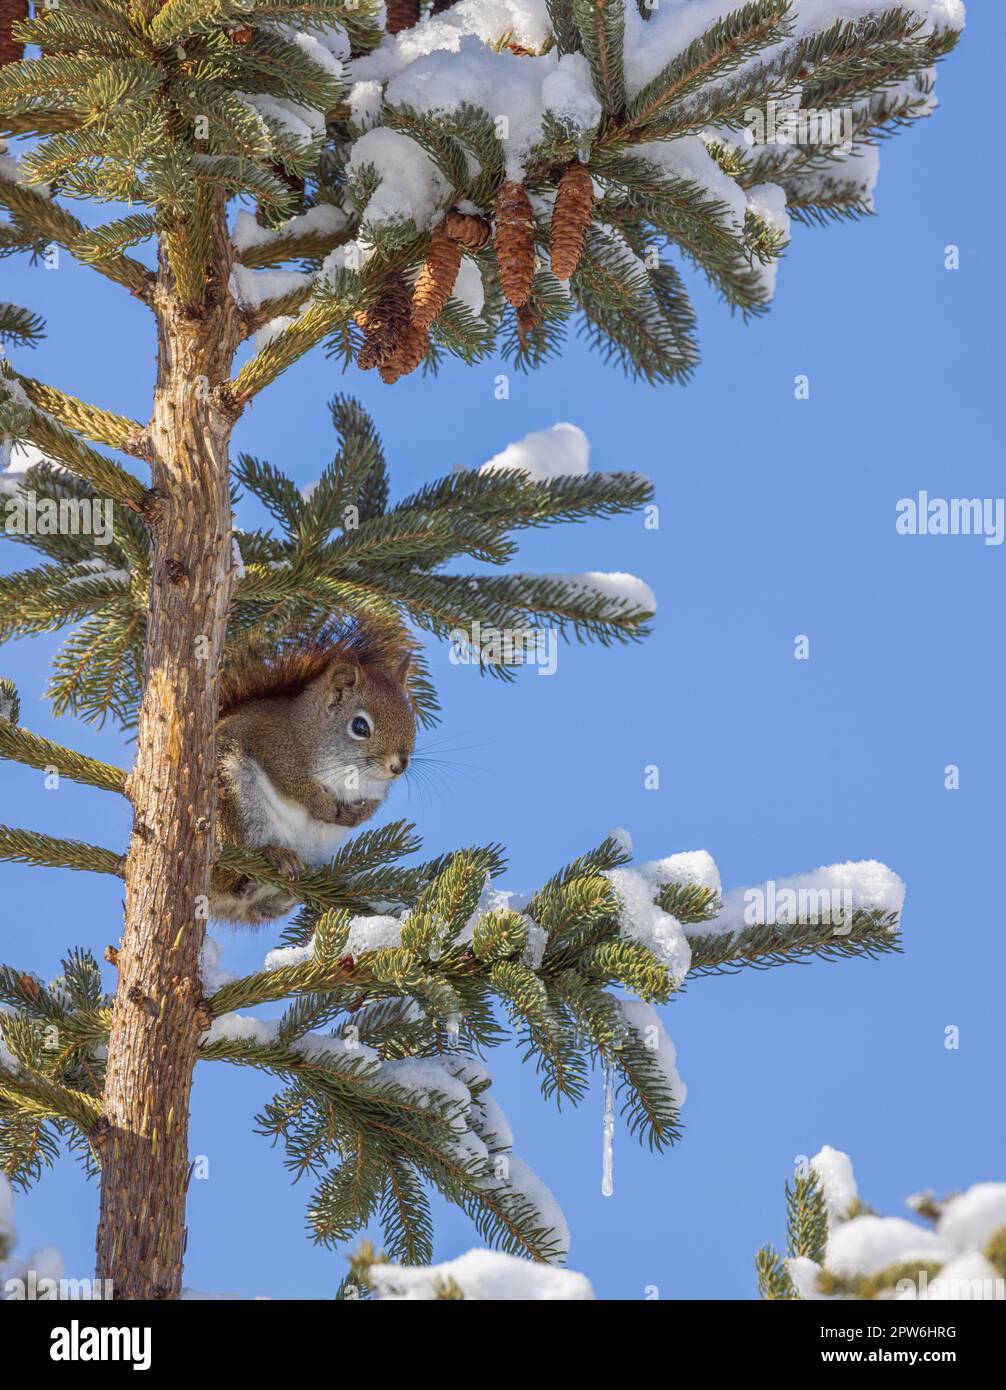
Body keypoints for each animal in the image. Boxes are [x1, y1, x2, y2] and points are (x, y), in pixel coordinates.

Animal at [209, 626, 416, 925]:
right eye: (360, 726)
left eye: (411, 722)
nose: (399, 766)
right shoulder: (270, 745)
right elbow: (294, 784)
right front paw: (323, 807)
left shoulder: (376, 790)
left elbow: (372, 806)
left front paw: (354, 815)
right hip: (234, 803)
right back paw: (274, 855)